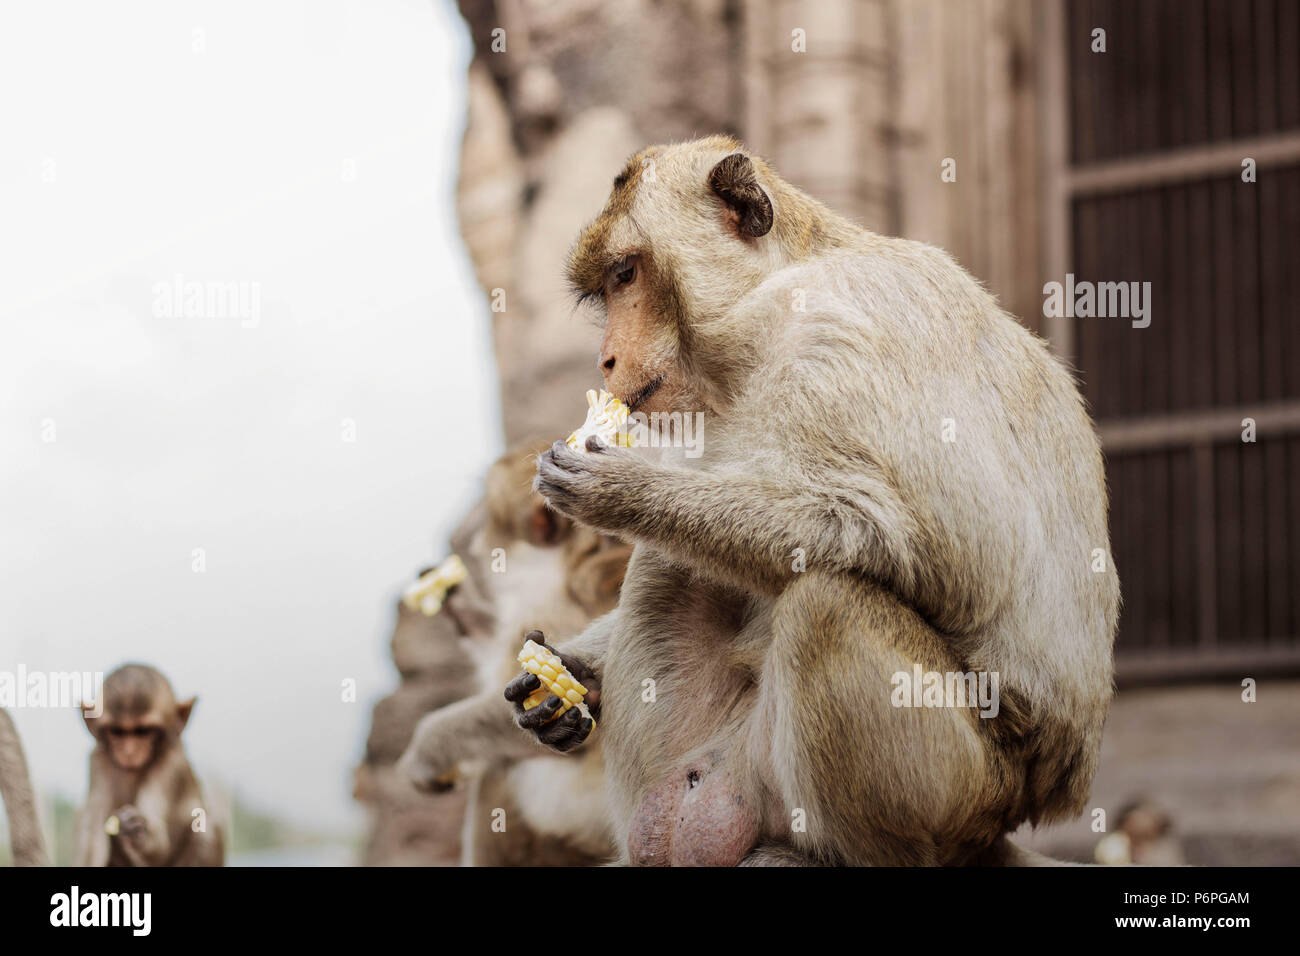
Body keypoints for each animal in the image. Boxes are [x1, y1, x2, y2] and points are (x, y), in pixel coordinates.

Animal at [76, 665, 224, 866]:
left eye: (143, 731)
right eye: (117, 732)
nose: (129, 752)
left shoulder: (171, 764)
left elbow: (159, 842)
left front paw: (138, 830)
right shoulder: (98, 762)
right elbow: (92, 838)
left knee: (205, 830)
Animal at [503, 135, 1120, 866]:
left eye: (626, 275)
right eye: (606, 288)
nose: (604, 359)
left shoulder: (851, 321)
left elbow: (937, 550)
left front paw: (622, 493)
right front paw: (564, 680)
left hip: (964, 789)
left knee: (827, 603)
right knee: (672, 566)